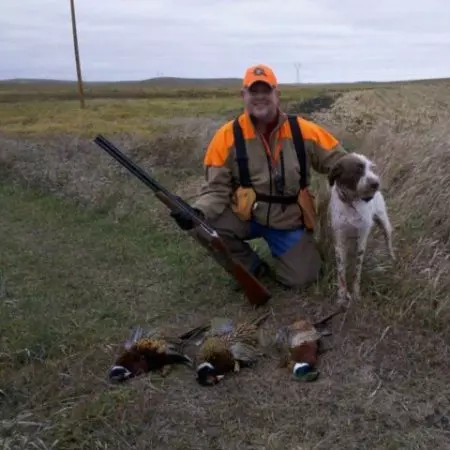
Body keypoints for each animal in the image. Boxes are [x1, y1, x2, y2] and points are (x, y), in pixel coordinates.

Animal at [326, 153, 394, 308]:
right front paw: (342, 297)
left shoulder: (361, 239)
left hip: (383, 222)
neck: (352, 203)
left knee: (388, 239)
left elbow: (356, 273)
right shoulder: (340, 241)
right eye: (358, 169)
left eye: (372, 168)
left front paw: (356, 295)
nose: (376, 183)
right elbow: (341, 273)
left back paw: (392, 258)